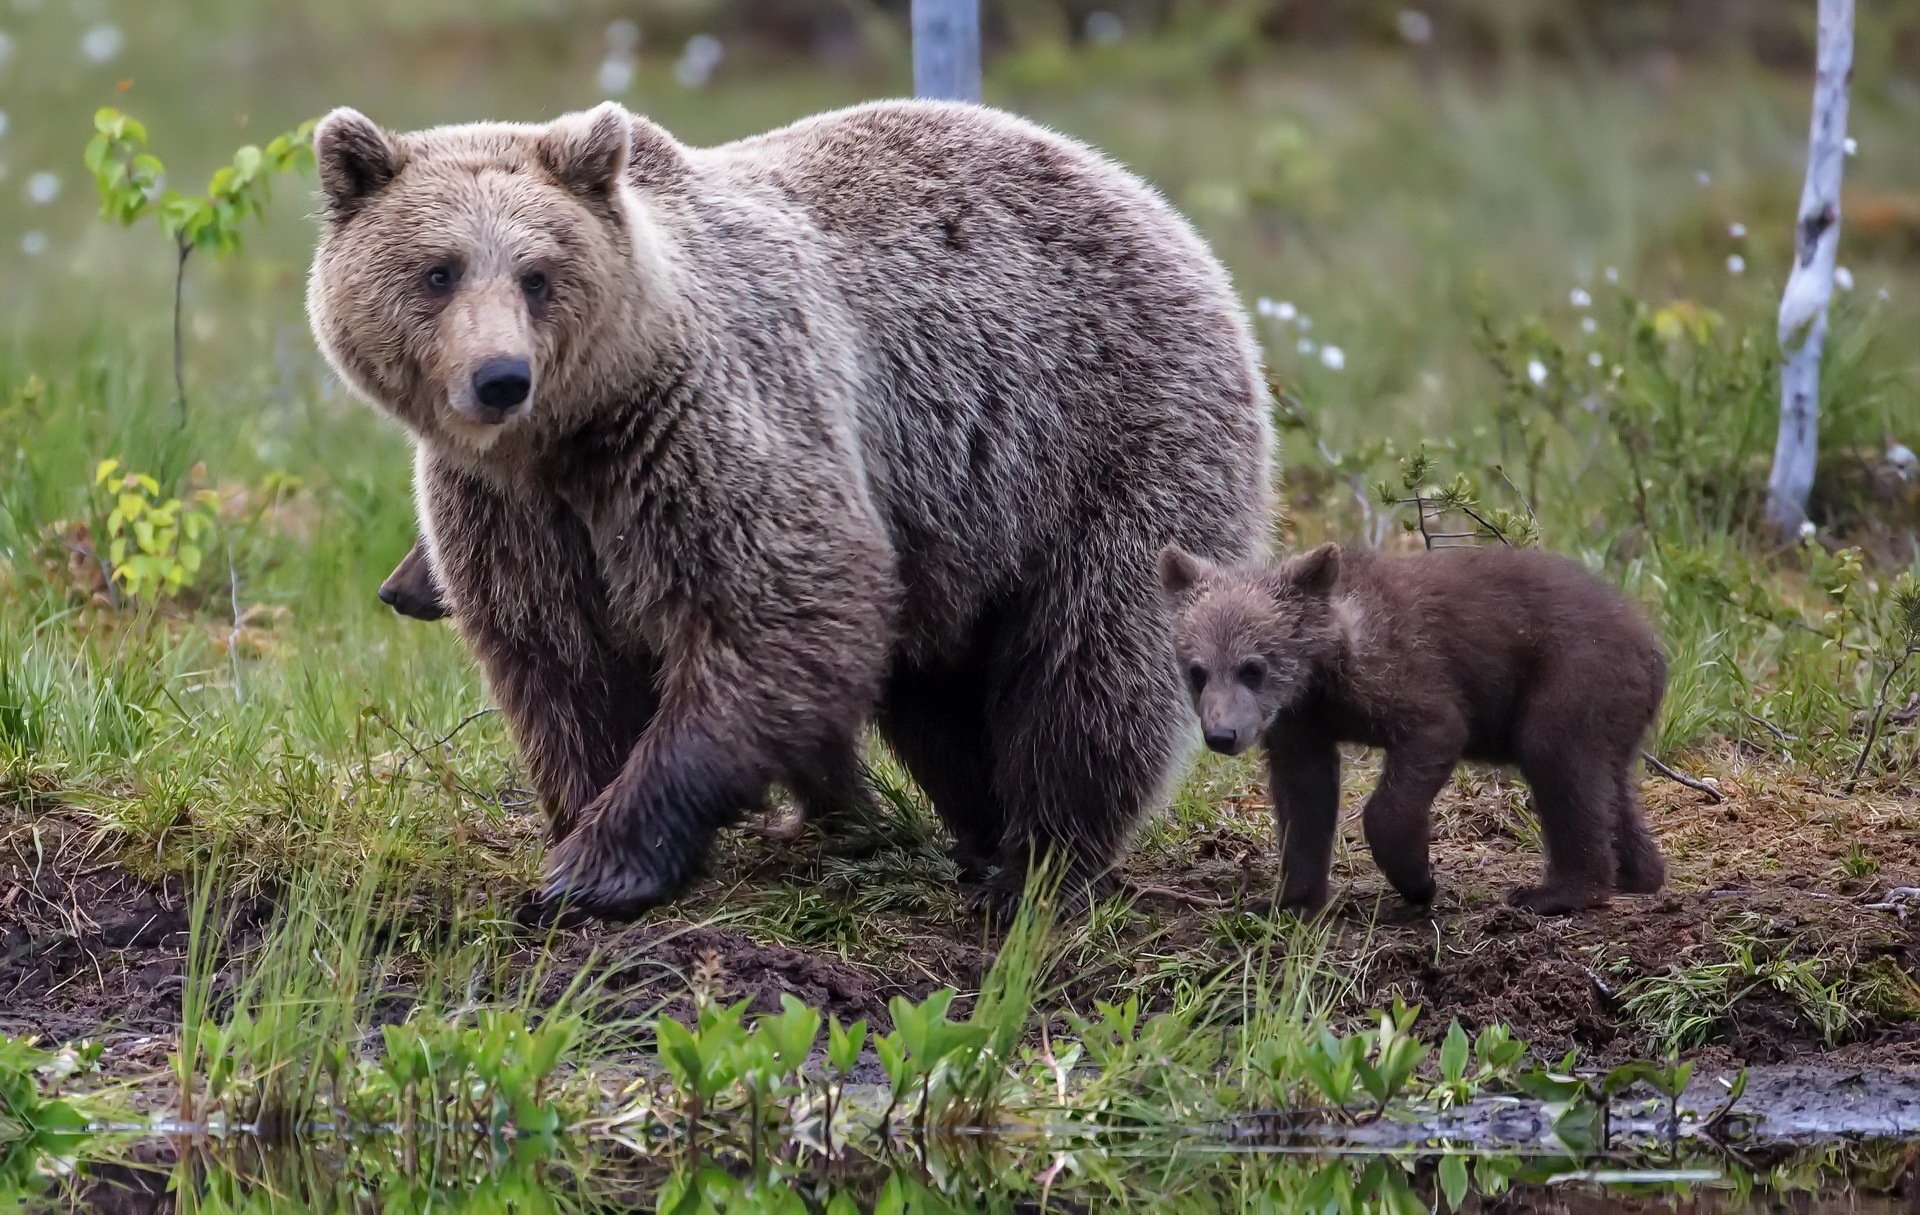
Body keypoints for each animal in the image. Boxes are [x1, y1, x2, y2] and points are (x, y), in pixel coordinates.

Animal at [307, 99, 1274, 920]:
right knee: (939, 696)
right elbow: (558, 662)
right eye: (437, 271)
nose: (500, 377)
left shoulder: (705, 420)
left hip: (1104, 434)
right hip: (952, 525)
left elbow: (779, 602)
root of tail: (1153, 203)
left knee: (1094, 661)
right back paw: (979, 826)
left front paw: (599, 865)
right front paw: (583, 818)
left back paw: (1038, 863)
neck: (571, 438)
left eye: (537, 274)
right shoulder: (515, 510)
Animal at [1158, 541, 1667, 916]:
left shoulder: (1405, 673)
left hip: (1574, 674)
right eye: (1198, 671)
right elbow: (1305, 796)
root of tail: (1653, 642)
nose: (1222, 735)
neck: (1323, 676)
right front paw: (1289, 899)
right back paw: (1640, 874)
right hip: (1613, 708)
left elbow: (1429, 740)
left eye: (1253, 668)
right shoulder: (1300, 722)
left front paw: (1419, 881)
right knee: (1609, 783)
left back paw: (1554, 893)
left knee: (1558, 760)